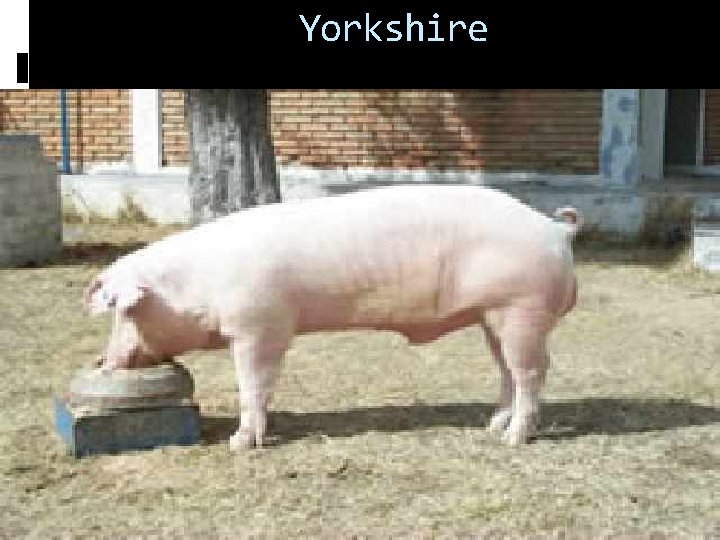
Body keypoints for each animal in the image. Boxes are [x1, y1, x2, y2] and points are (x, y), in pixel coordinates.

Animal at [84, 184, 581, 448]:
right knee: (506, 370)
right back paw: (491, 426)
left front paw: (240, 444)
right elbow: (262, 388)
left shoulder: (260, 327)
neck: (199, 285)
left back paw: (513, 439)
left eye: (125, 313)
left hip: (521, 308)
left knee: (532, 372)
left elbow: (253, 384)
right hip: (491, 316)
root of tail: (555, 228)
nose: (103, 362)